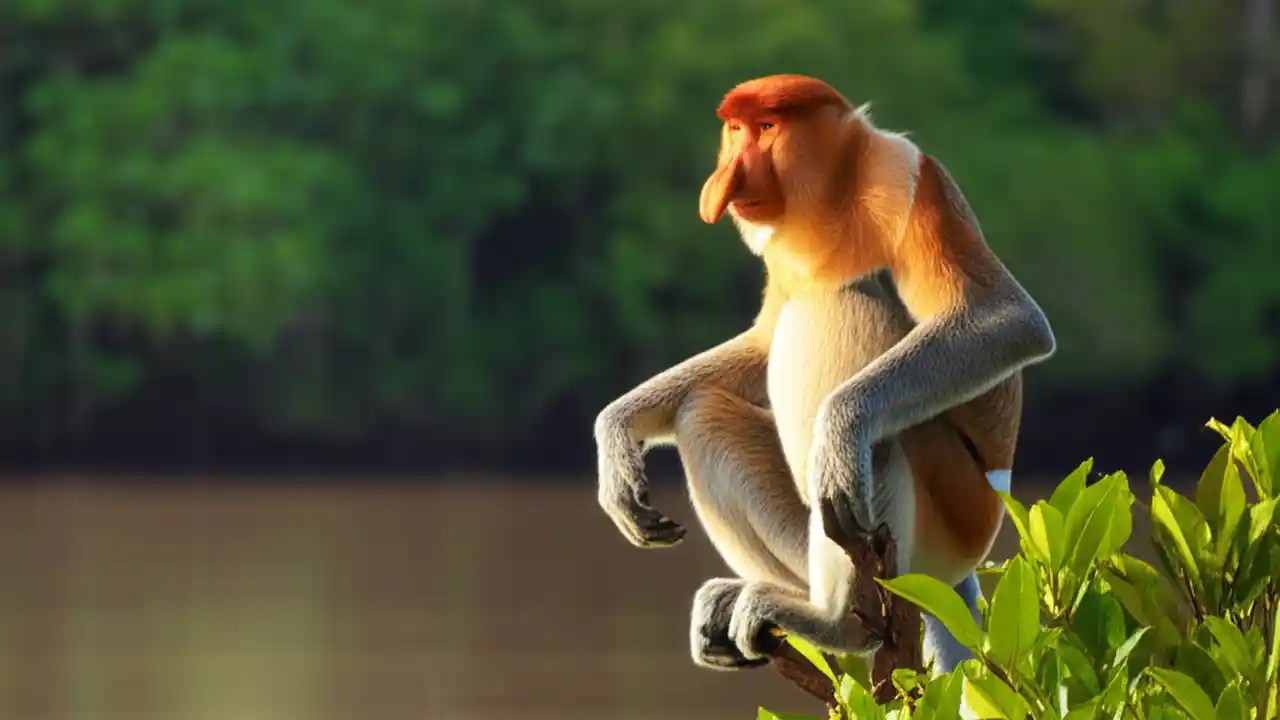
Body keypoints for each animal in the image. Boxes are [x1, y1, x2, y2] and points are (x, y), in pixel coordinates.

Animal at [593, 74, 1054, 674]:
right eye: (735, 128)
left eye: (767, 127)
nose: (727, 177)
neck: (834, 199)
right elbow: (765, 340)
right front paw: (616, 437)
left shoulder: (905, 180)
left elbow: (1009, 318)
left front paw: (840, 430)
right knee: (703, 411)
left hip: (951, 515)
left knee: (853, 334)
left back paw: (839, 623)